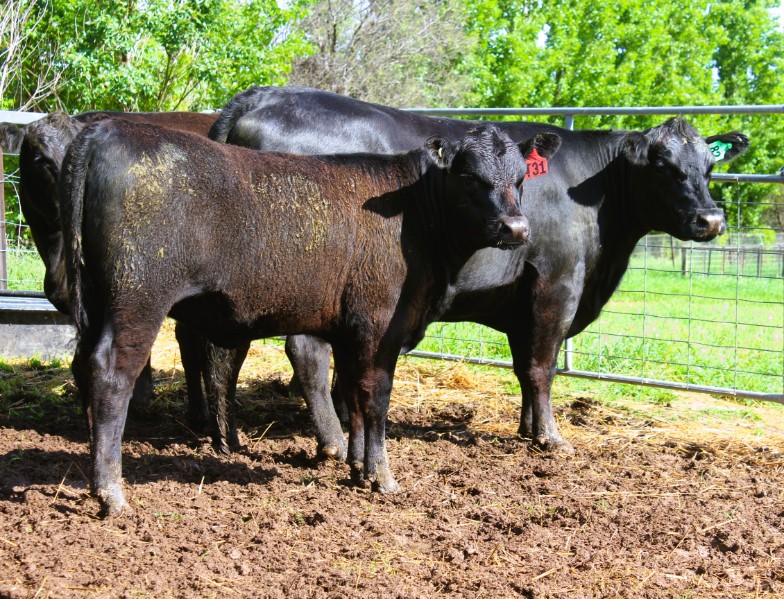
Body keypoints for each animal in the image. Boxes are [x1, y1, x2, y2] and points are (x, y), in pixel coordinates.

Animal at [60, 119, 561, 516]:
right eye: (468, 176)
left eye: (521, 177)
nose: (516, 228)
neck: (415, 215)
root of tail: (106, 130)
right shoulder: (380, 325)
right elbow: (375, 397)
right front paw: (382, 476)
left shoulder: (350, 329)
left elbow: (352, 396)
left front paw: (358, 468)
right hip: (137, 299)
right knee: (112, 373)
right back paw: (111, 491)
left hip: (96, 303)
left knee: (83, 366)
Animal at [204, 85, 748, 459]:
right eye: (662, 165)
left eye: (709, 167)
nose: (711, 220)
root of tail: (265, 94)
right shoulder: (556, 284)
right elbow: (542, 365)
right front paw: (550, 438)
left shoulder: (521, 297)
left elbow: (526, 366)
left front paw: (528, 428)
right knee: (305, 352)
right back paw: (333, 442)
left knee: (226, 350)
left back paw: (225, 436)